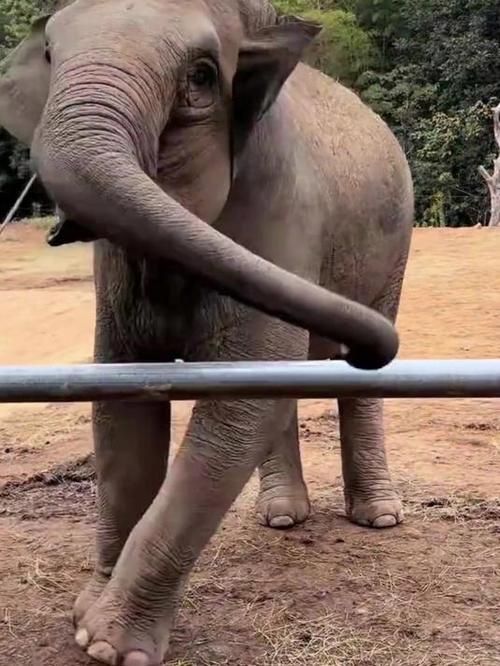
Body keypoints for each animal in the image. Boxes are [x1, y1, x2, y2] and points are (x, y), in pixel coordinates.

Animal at [0, 1, 413, 664]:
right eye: (48, 54)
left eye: (199, 77)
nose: (369, 345)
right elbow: (122, 400)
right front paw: (88, 617)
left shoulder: (277, 208)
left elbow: (240, 400)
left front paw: (109, 644)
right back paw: (282, 517)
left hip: (394, 250)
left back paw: (377, 518)